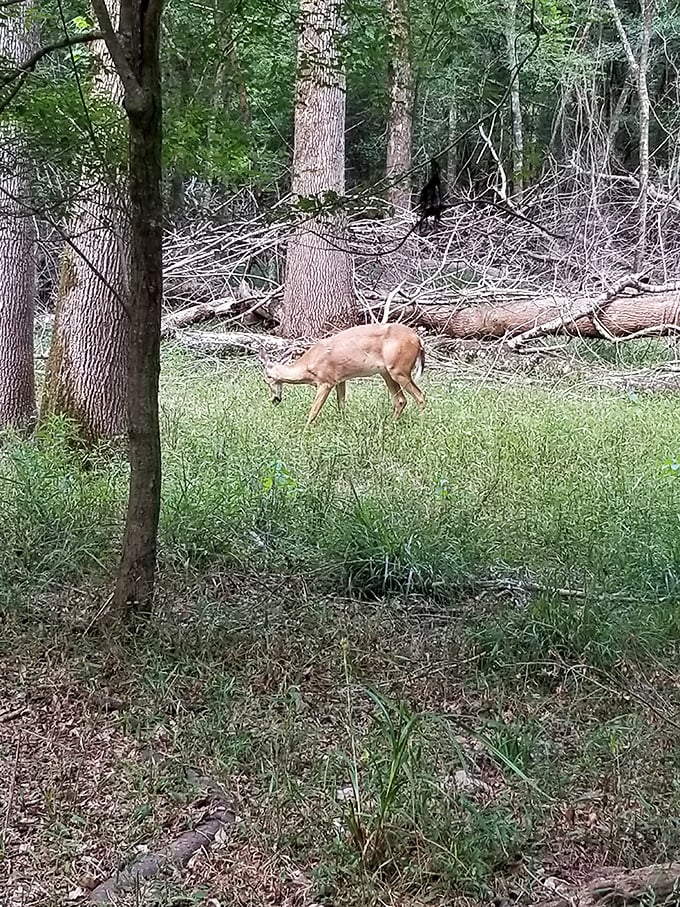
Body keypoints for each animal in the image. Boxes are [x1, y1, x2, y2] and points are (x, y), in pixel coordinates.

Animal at [258, 323, 426, 427]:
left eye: (266, 380)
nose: (275, 400)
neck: (308, 367)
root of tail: (418, 340)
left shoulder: (325, 382)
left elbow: (313, 411)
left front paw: (304, 431)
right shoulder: (340, 380)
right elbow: (341, 405)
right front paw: (343, 425)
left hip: (399, 368)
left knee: (419, 395)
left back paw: (420, 424)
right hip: (386, 372)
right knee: (400, 400)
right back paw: (391, 425)